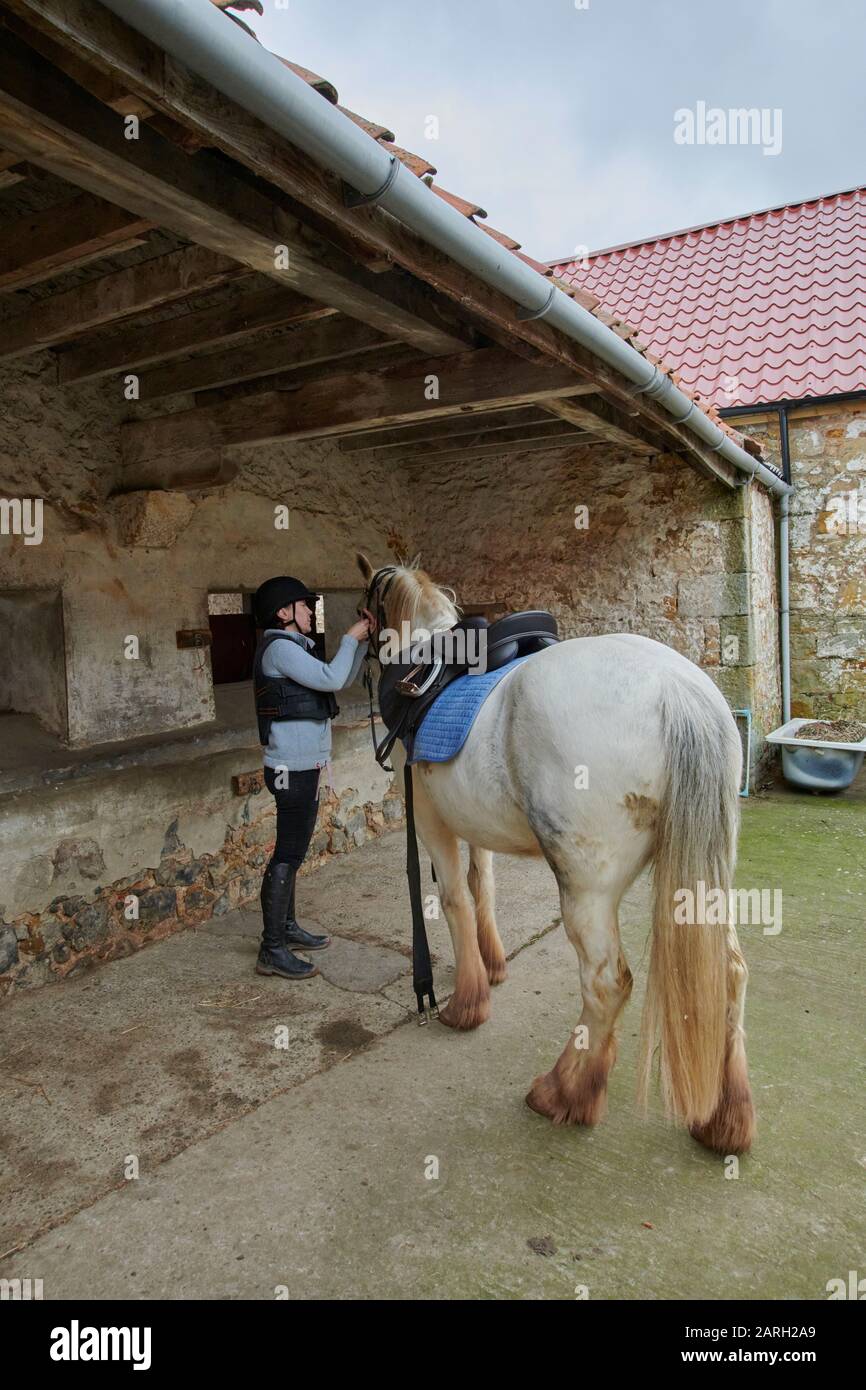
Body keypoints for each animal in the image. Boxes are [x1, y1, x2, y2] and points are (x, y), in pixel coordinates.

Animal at [357, 553, 756, 1155]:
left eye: (364, 607)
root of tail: (676, 690)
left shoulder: (429, 818)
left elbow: (452, 900)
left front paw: (467, 1003)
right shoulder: (471, 816)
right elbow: (481, 884)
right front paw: (493, 963)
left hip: (586, 888)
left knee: (606, 985)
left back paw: (564, 1090)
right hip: (709, 877)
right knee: (728, 975)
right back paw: (725, 1120)